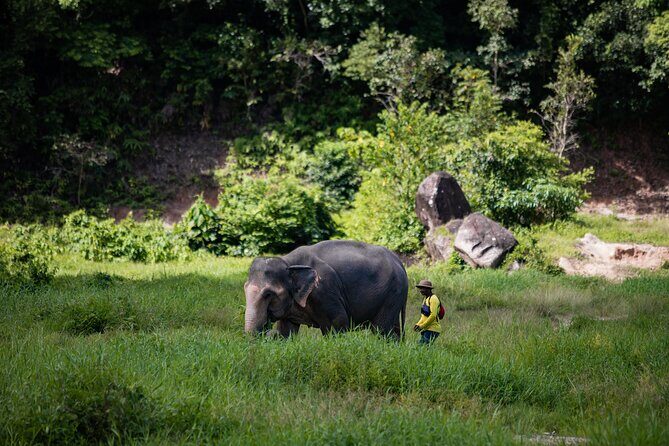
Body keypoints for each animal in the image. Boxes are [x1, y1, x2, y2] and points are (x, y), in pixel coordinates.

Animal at [243, 240, 408, 338]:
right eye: (244, 289)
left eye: (268, 294)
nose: (268, 333)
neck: (287, 261)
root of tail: (398, 261)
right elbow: (287, 330)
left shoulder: (324, 291)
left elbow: (338, 322)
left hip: (392, 293)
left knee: (381, 330)